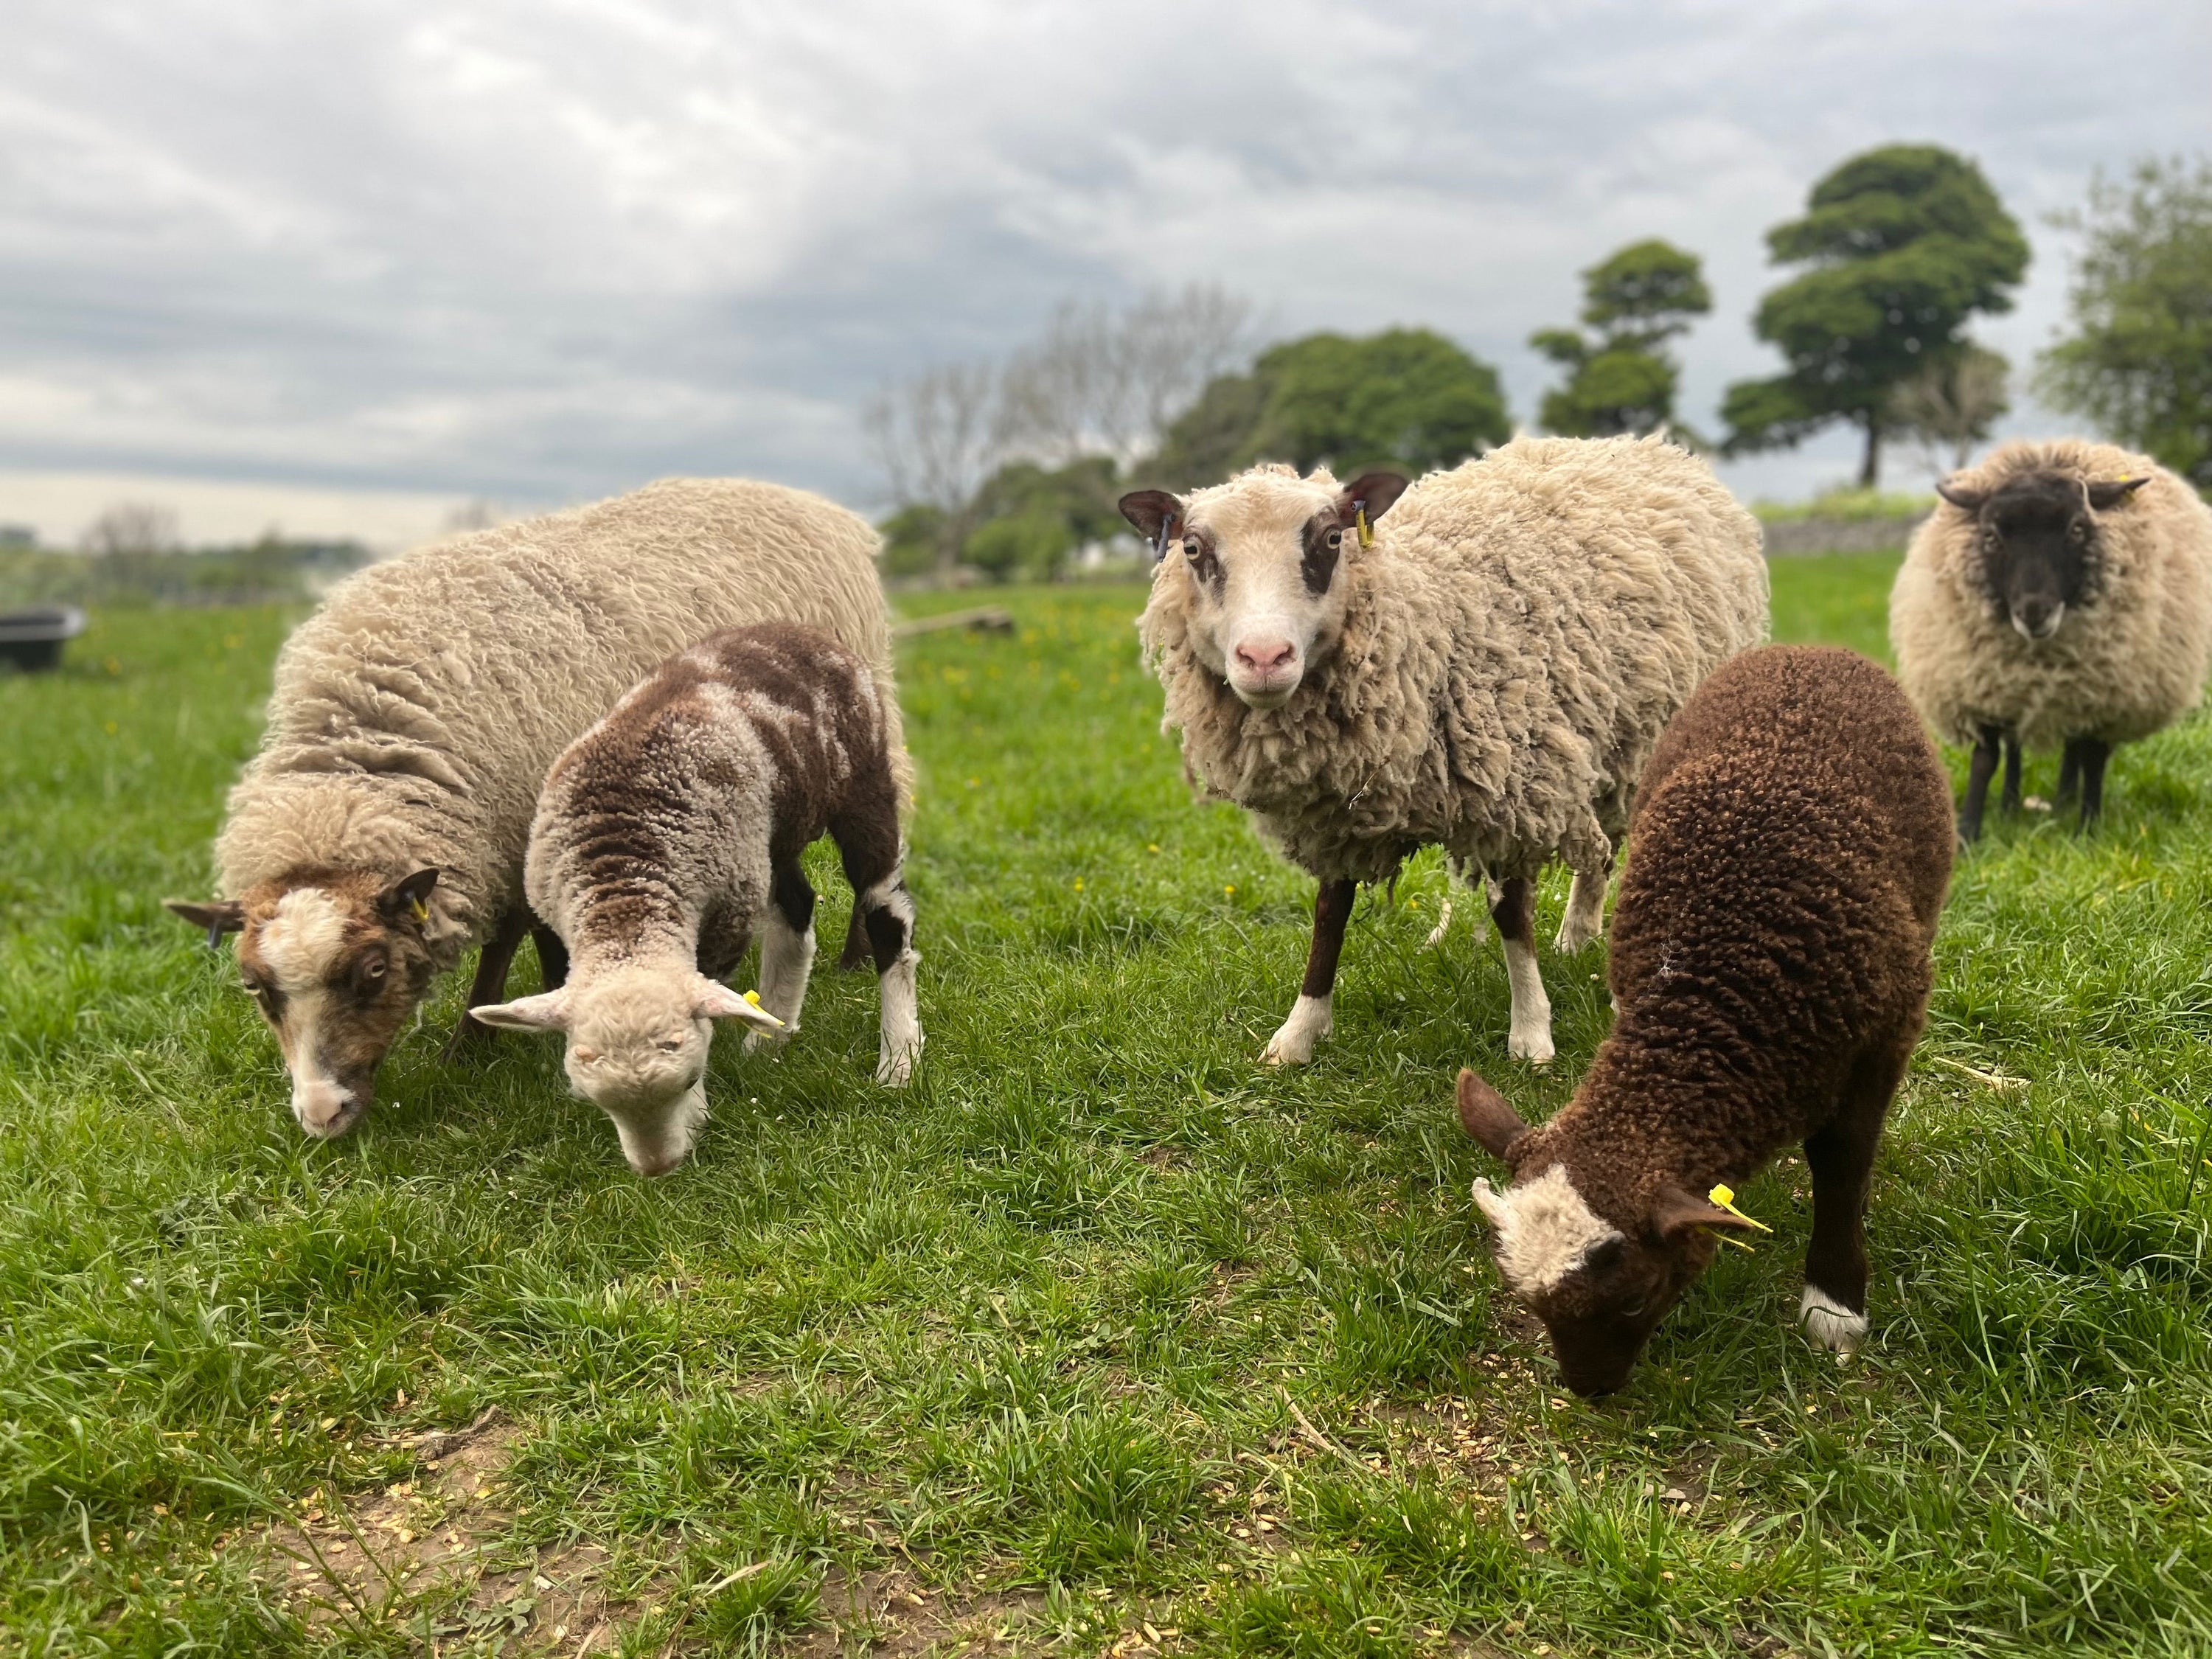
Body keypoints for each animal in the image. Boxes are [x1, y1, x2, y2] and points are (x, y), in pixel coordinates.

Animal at [468, 624, 920, 1175]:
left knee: (888, 918)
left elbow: (707, 1011)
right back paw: (770, 1039)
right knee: (797, 908)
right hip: (763, 837)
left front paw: (698, 1114)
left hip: (862, 783)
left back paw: (898, 1060)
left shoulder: (725, 917)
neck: (624, 892)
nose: (657, 1168)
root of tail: (793, 631)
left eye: (686, 1079)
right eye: (596, 1100)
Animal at [1121, 433, 1767, 1068]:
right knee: (1601, 847)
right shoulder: (1339, 814)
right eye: (1194, 550)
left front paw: (1531, 1034)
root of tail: (1647, 445)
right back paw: (1577, 934)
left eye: (1330, 539)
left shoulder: (1516, 786)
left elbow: (1511, 915)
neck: (1423, 618)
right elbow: (1330, 915)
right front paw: (1298, 1034)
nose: (1263, 658)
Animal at [1458, 646, 1953, 1397]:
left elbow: (1843, 1162)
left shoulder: (1883, 1036)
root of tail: (1804, 651)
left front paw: (1834, 1304)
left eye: (1636, 1299)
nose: (1590, 1392)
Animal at [1889, 438, 2212, 840]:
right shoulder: (1981, 688)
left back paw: (2066, 801)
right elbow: (1986, 760)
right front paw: (1967, 833)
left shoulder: (2104, 697)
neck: (2039, 656)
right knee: (2014, 746)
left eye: (2077, 528)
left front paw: (2087, 829)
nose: (2034, 611)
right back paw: (2011, 804)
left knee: (2075, 748)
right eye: (1991, 535)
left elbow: (2092, 759)